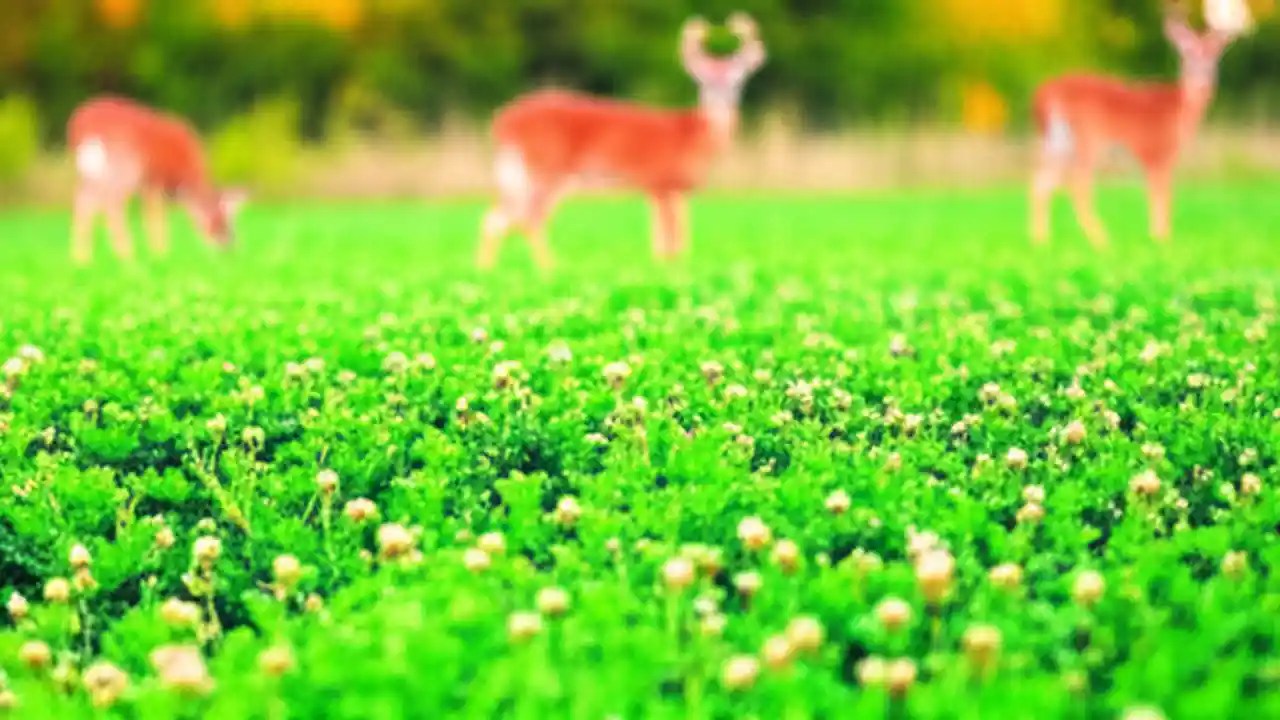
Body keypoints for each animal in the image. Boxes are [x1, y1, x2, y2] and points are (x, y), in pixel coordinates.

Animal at [66, 96, 246, 265]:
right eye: (224, 223)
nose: (230, 247)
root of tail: (82, 125)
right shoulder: (155, 180)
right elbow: (157, 217)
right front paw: (161, 255)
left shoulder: (147, 185)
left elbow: (150, 216)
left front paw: (156, 254)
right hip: (124, 165)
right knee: (111, 204)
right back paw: (127, 257)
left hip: (92, 172)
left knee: (85, 201)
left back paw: (82, 259)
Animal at [477, 14, 766, 270]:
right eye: (704, 78)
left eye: (737, 77)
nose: (721, 91)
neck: (696, 136)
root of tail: (504, 121)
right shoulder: (661, 181)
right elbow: (671, 238)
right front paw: (671, 269)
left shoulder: (667, 188)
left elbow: (668, 237)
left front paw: (665, 266)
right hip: (546, 167)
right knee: (528, 217)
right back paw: (550, 268)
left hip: (522, 172)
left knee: (497, 218)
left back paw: (487, 269)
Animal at [1029, 6, 1246, 248]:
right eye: (1188, 53)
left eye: (1215, 55)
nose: (1203, 77)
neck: (1180, 108)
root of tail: (1045, 93)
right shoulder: (1158, 151)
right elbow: (1162, 195)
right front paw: (1161, 238)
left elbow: (1157, 194)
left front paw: (1158, 237)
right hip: (1088, 138)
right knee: (1076, 186)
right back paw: (1102, 241)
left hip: (1056, 142)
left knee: (1041, 183)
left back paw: (1041, 240)